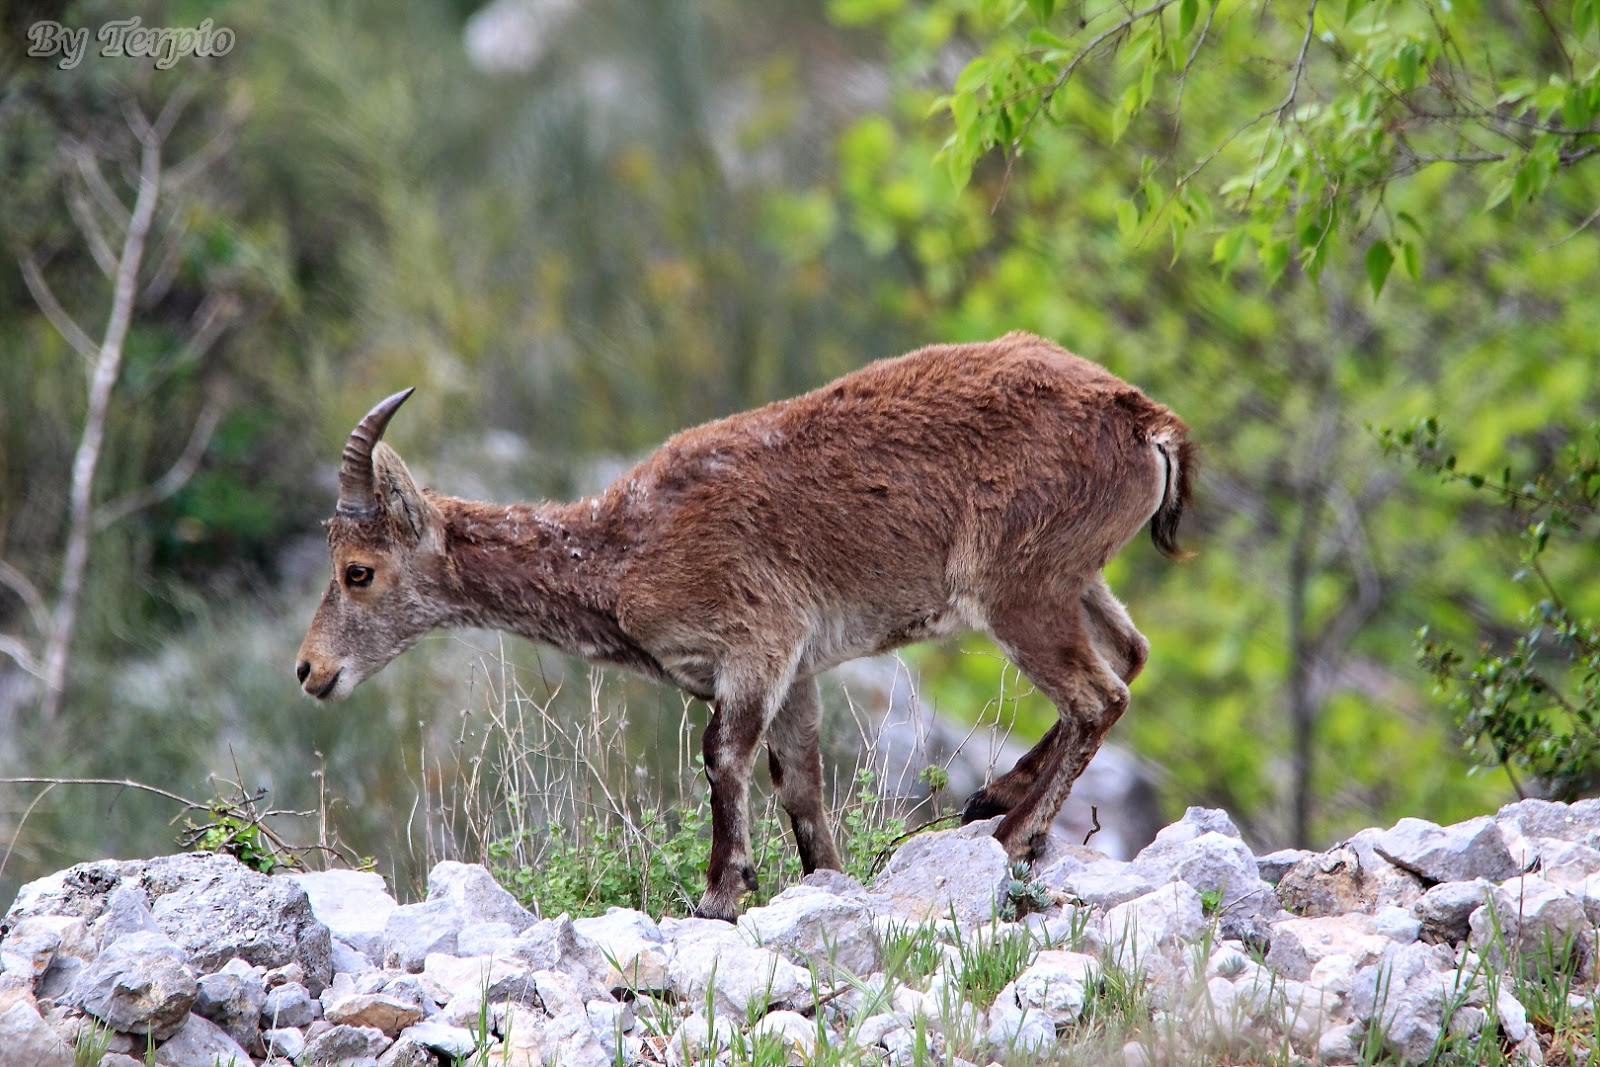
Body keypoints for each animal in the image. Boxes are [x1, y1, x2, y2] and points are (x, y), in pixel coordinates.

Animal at [295, 331, 1193, 920]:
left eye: (358, 570)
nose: (309, 670)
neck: (620, 551)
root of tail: (1147, 420)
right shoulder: (799, 671)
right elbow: (798, 780)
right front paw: (821, 877)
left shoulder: (757, 640)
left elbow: (722, 755)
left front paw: (721, 889)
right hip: (1075, 575)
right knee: (1133, 654)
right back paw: (995, 795)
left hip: (1018, 589)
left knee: (1098, 695)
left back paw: (1009, 833)